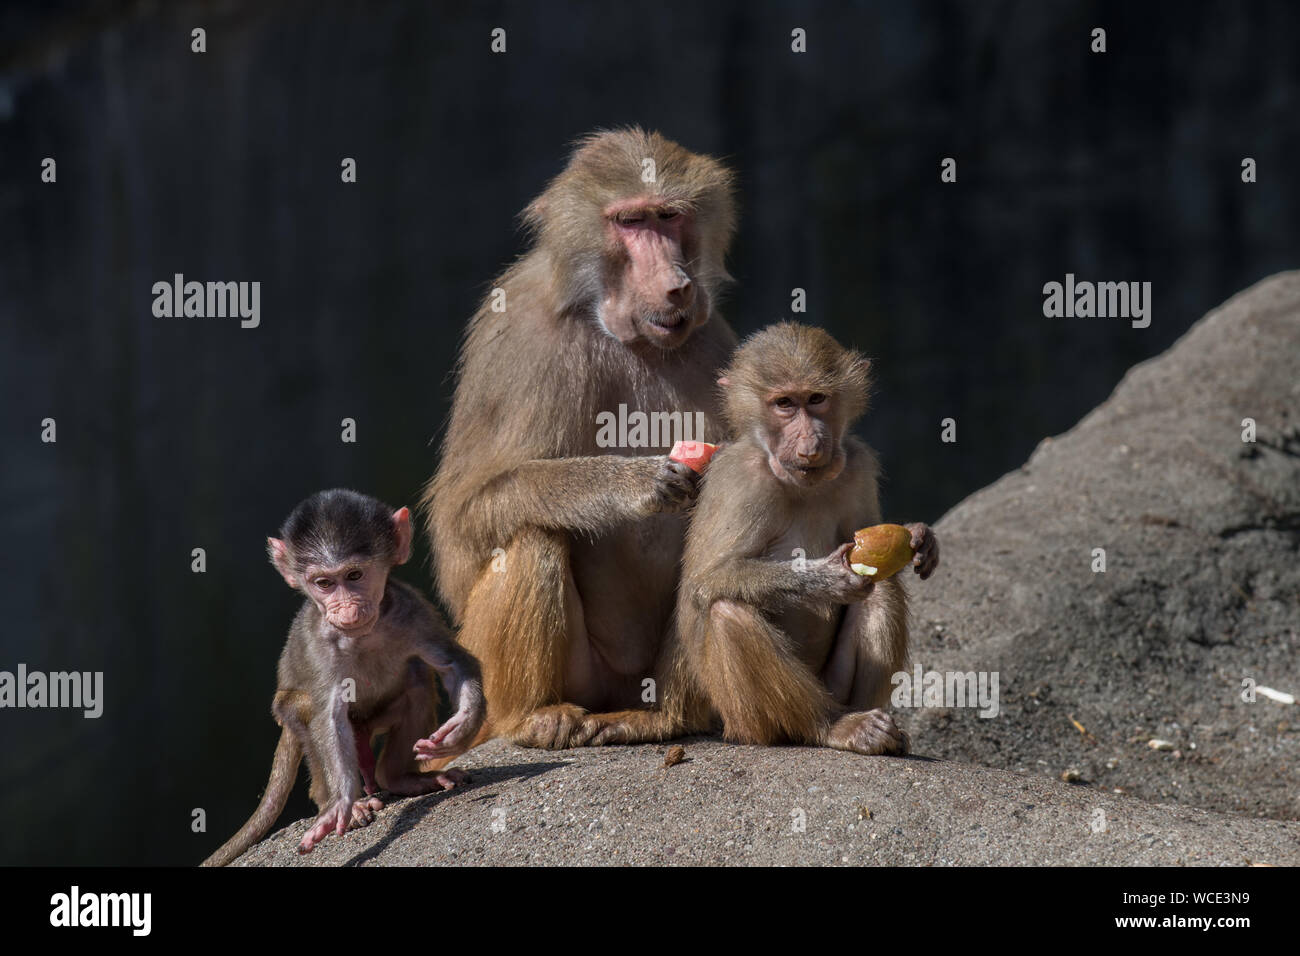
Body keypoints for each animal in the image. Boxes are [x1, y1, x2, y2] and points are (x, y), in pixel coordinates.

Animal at [201, 489, 485, 866]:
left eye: (354, 576)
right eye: (324, 583)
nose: (347, 610)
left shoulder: (411, 607)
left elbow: (453, 663)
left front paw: (462, 726)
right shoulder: (319, 641)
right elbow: (329, 714)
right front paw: (340, 805)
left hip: (374, 721)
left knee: (416, 679)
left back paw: (400, 779)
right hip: (295, 714)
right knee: (307, 708)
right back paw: (336, 799)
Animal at [419, 127, 738, 753]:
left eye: (670, 217)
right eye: (630, 221)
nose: (677, 286)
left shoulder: (716, 342)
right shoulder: (523, 339)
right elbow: (462, 521)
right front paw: (631, 484)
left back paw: (660, 719)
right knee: (531, 535)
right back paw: (536, 718)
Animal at [562, 323, 939, 754]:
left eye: (816, 399)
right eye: (783, 404)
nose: (810, 444)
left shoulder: (857, 463)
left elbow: (869, 538)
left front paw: (919, 537)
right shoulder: (740, 478)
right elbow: (705, 582)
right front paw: (825, 578)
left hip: (830, 684)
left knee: (881, 588)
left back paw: (868, 722)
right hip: (744, 719)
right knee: (729, 613)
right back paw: (832, 727)